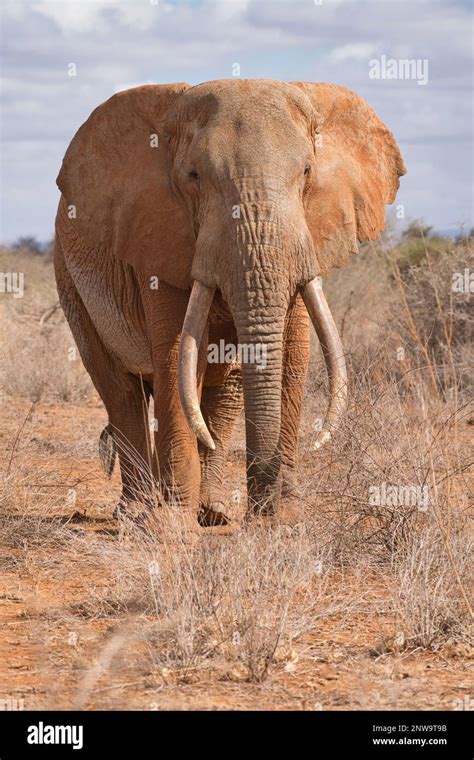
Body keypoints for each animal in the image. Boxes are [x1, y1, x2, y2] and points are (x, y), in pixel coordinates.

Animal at [54, 78, 405, 528]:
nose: (261, 512)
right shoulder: (159, 237)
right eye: (194, 176)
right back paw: (137, 514)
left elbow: (292, 353)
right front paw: (173, 525)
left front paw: (284, 519)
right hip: (68, 278)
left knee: (224, 393)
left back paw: (214, 512)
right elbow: (176, 355)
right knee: (121, 392)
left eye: (307, 172)